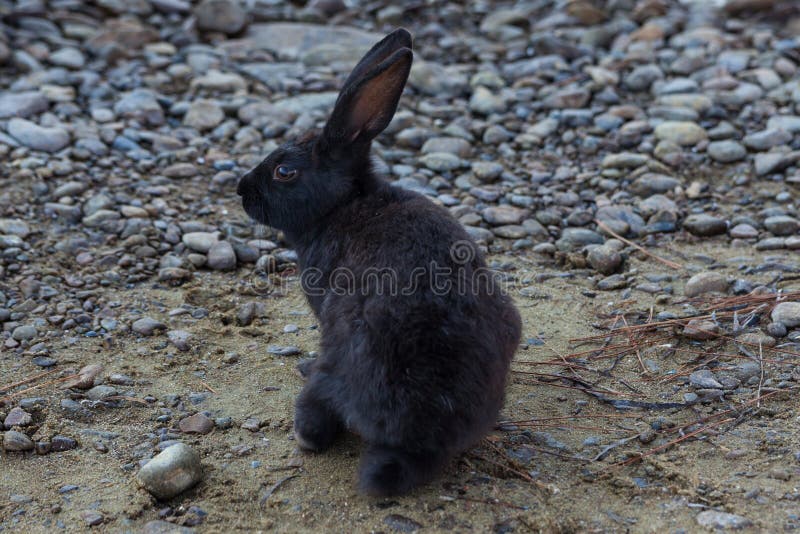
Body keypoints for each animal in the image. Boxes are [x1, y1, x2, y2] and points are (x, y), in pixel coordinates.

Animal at [237, 28, 521, 496]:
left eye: (284, 171)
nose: (241, 190)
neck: (342, 205)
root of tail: (414, 436)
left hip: (338, 359)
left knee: (317, 417)